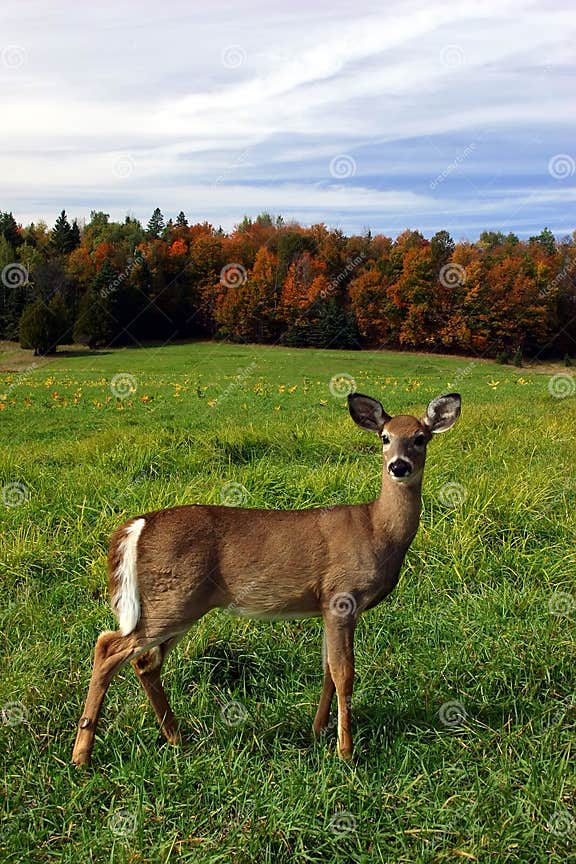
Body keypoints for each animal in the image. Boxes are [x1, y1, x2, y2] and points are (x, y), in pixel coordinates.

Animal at [72, 390, 461, 766]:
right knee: (108, 647)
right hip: (173, 599)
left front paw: (317, 732)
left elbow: (326, 670)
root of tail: (135, 526)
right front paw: (346, 752)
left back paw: (175, 738)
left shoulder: (325, 606)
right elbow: (344, 673)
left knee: (146, 663)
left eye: (420, 437)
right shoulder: (342, 596)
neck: (378, 530)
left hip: (177, 603)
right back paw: (82, 756)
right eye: (385, 437)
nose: (399, 465)